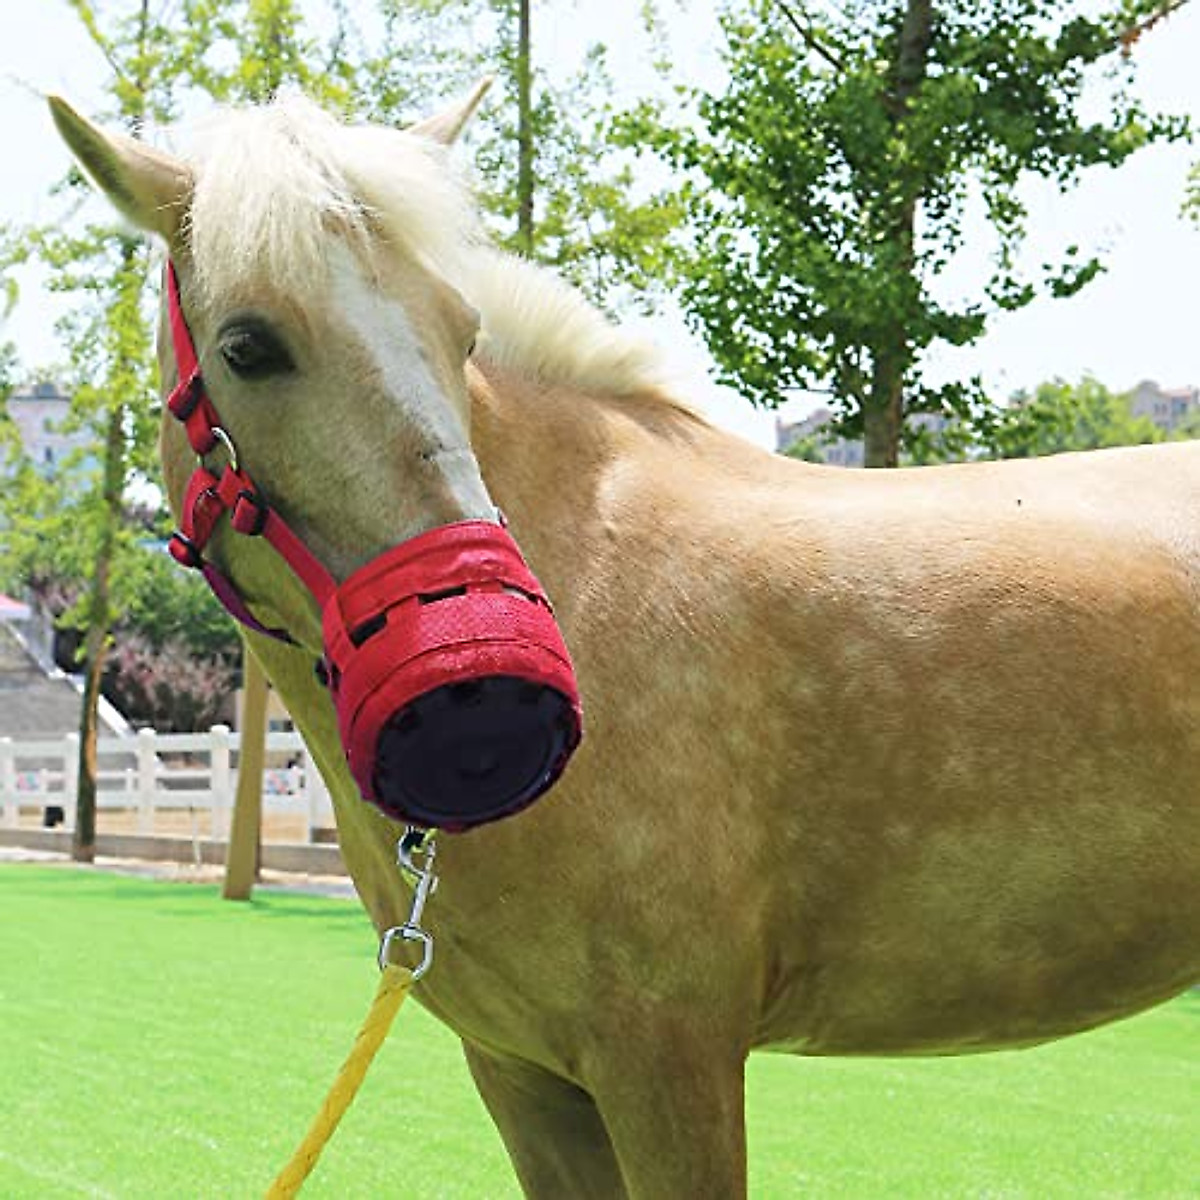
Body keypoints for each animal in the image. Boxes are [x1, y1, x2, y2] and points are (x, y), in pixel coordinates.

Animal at [50, 86, 1200, 1197]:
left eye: (462, 332)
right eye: (248, 345)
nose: (489, 699)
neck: (592, 574)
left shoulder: (669, 1058)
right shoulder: (525, 1076)